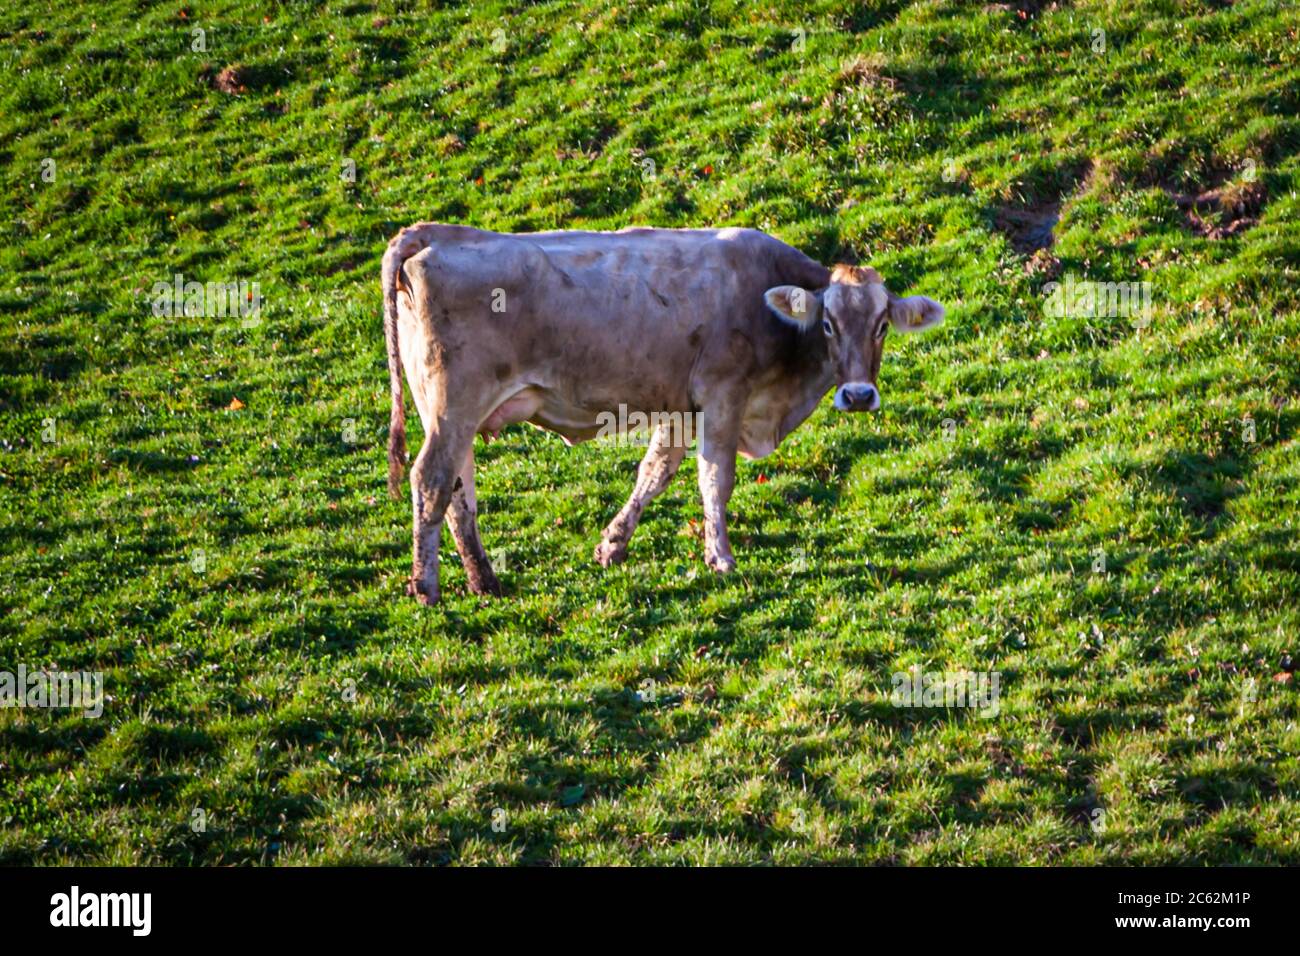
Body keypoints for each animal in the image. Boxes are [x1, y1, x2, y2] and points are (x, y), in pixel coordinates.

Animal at [382, 223, 945, 604]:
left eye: (881, 325)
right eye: (828, 323)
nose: (858, 395)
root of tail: (433, 233)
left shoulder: (682, 408)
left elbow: (654, 473)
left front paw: (612, 544)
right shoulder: (722, 395)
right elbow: (715, 478)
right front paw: (721, 557)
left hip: (450, 411)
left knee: (459, 492)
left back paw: (484, 580)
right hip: (454, 403)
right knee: (431, 479)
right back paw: (426, 587)